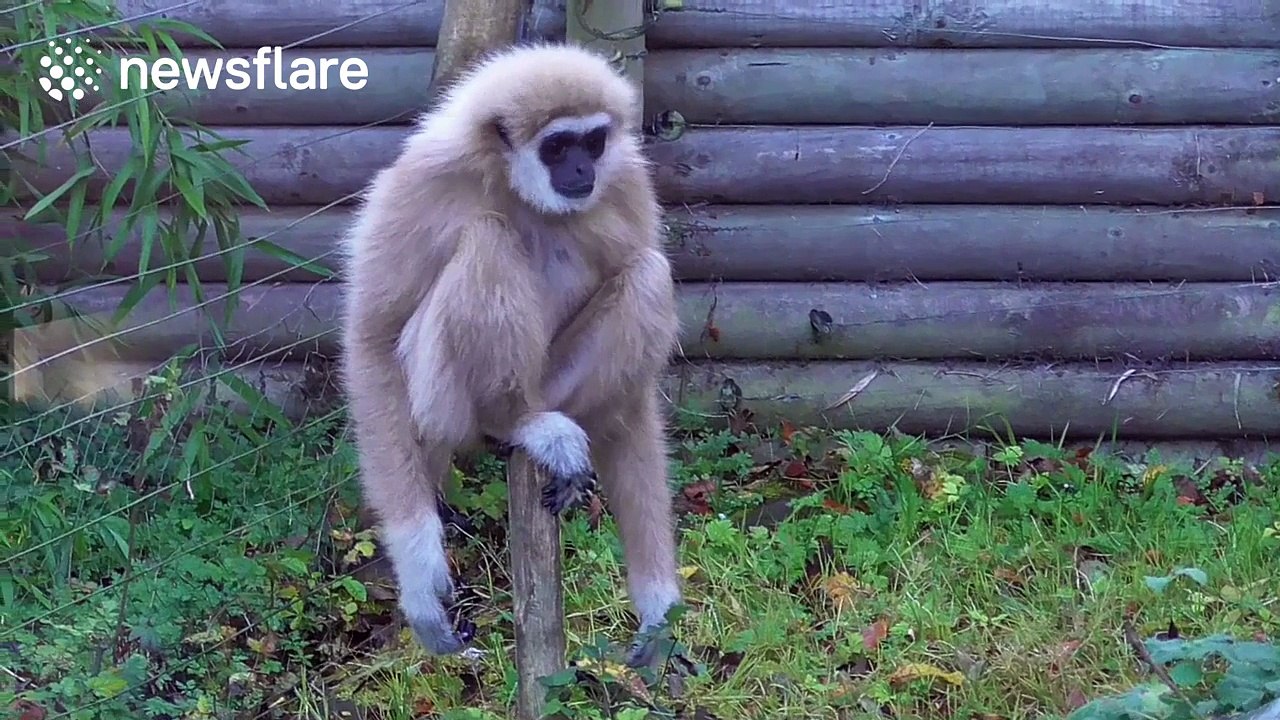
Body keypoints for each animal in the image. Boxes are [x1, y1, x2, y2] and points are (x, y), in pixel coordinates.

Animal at [338, 42, 683, 665]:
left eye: (593, 141)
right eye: (558, 146)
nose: (582, 170)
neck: (511, 183)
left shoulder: (626, 184)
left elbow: (634, 406)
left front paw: (657, 608)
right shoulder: (421, 181)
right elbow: (372, 339)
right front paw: (422, 582)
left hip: (558, 383)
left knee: (647, 276)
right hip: (445, 404)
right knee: (487, 239)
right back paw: (514, 422)